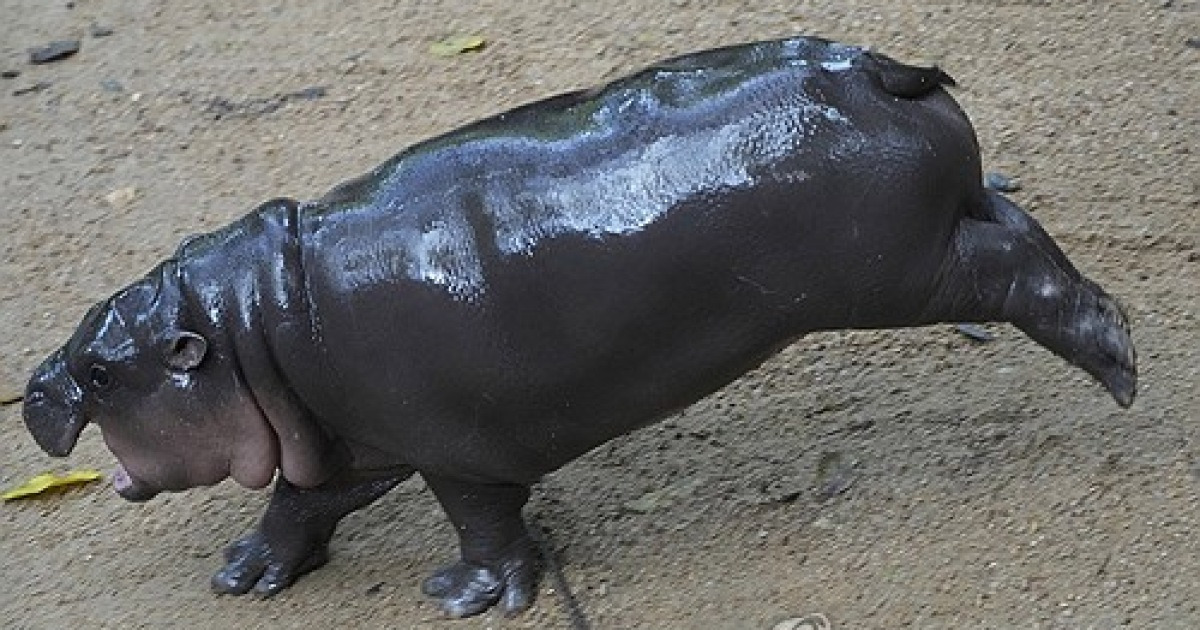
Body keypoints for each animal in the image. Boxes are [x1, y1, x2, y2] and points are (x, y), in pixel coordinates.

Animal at [22, 36, 1135, 618]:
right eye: (86, 343)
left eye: (102, 369)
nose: (34, 385)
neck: (251, 319)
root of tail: (874, 65)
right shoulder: (342, 439)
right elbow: (301, 504)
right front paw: (241, 577)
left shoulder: (449, 448)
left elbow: (479, 519)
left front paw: (465, 596)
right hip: (940, 229)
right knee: (1020, 229)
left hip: (908, 273)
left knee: (1025, 281)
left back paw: (1120, 366)